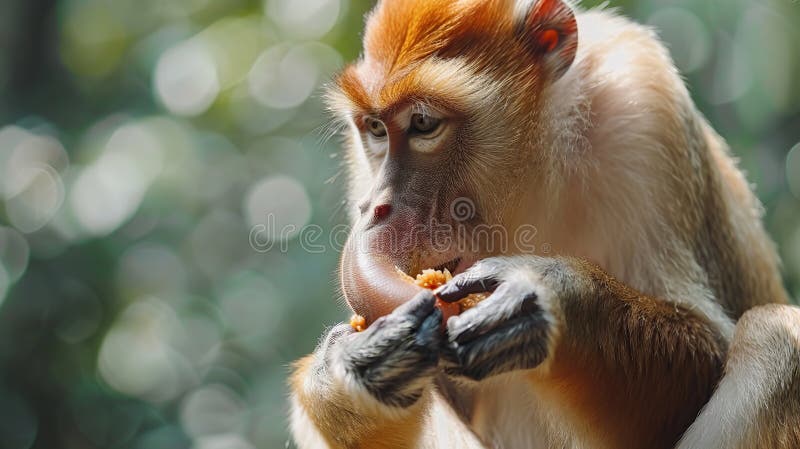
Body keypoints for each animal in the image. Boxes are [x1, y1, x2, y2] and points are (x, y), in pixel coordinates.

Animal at [288, 0, 800, 448]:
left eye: (423, 123)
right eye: (376, 129)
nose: (377, 207)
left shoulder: (643, 105)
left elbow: (707, 353)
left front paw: (548, 293)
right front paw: (350, 365)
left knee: (777, 338)